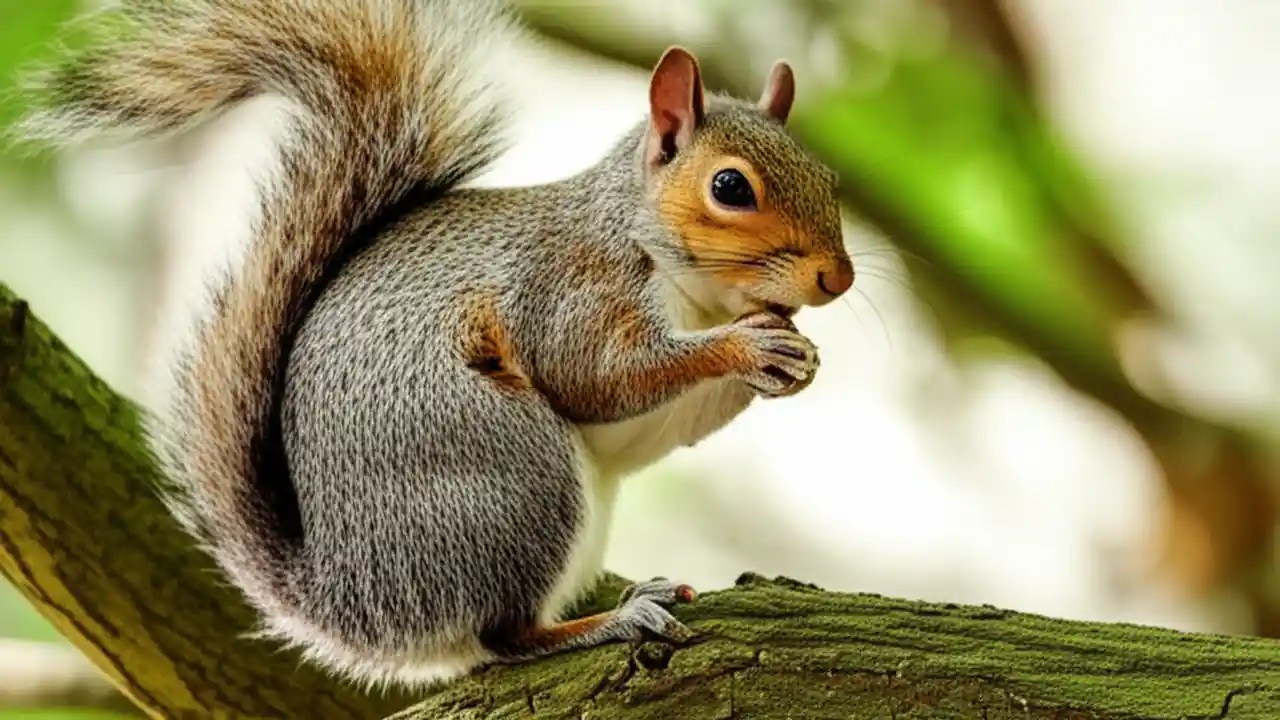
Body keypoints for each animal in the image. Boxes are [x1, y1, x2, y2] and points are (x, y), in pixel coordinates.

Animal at [23, 0, 853, 688]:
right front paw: (746, 350)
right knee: (504, 637)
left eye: (831, 178)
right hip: (516, 475)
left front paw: (795, 353)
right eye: (730, 188)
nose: (838, 278)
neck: (677, 278)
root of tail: (353, 604)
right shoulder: (571, 286)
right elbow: (597, 379)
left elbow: (648, 428)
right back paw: (610, 621)